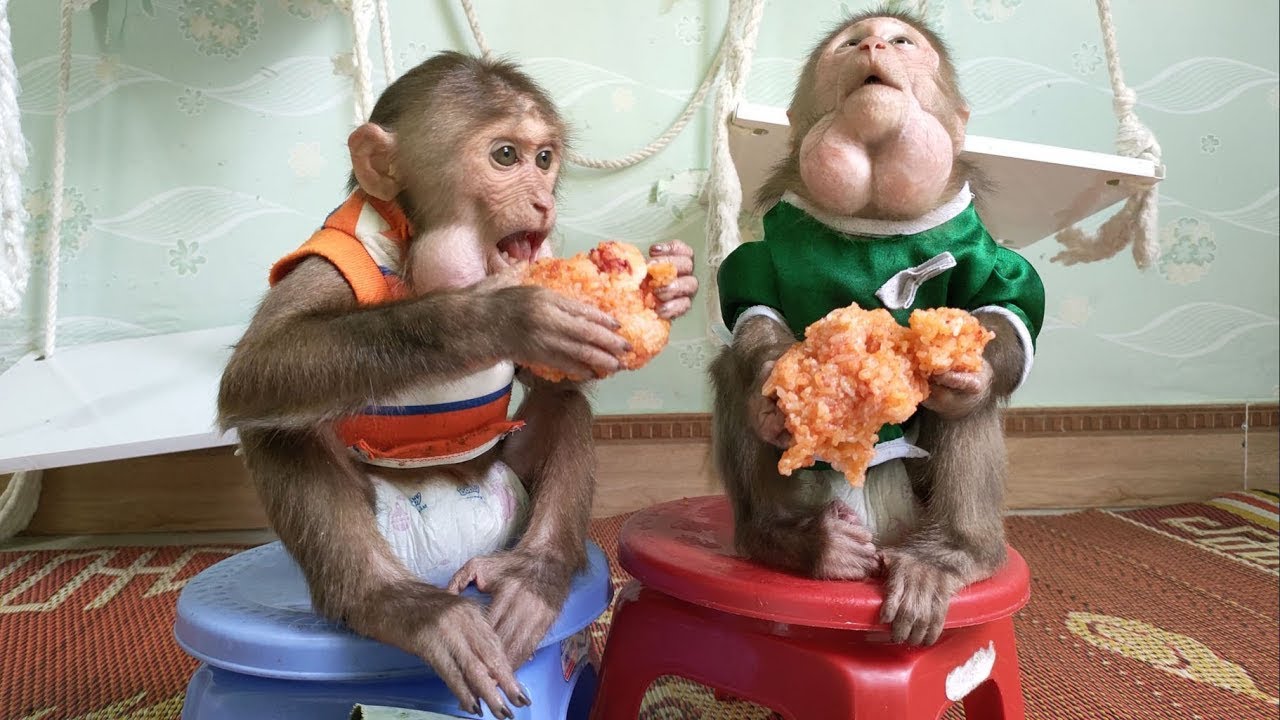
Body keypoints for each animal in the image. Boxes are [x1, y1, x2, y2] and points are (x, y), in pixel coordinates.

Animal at [217, 52, 698, 718]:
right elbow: (261, 364)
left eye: (544, 158)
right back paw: (394, 604)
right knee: (276, 429)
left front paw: (674, 282)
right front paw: (503, 313)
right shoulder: (337, 252)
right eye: (505, 156)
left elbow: (551, 375)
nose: (542, 201)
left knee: (563, 405)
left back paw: (533, 574)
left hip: (506, 502)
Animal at [709, 8, 1045, 647]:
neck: (873, 218)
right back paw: (794, 539)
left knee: (964, 414)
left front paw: (971, 370)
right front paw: (772, 391)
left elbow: (1007, 305)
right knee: (727, 370)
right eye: (846, 45)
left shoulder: (976, 240)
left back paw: (951, 555)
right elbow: (751, 304)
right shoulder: (773, 245)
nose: (871, 44)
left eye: (902, 41)